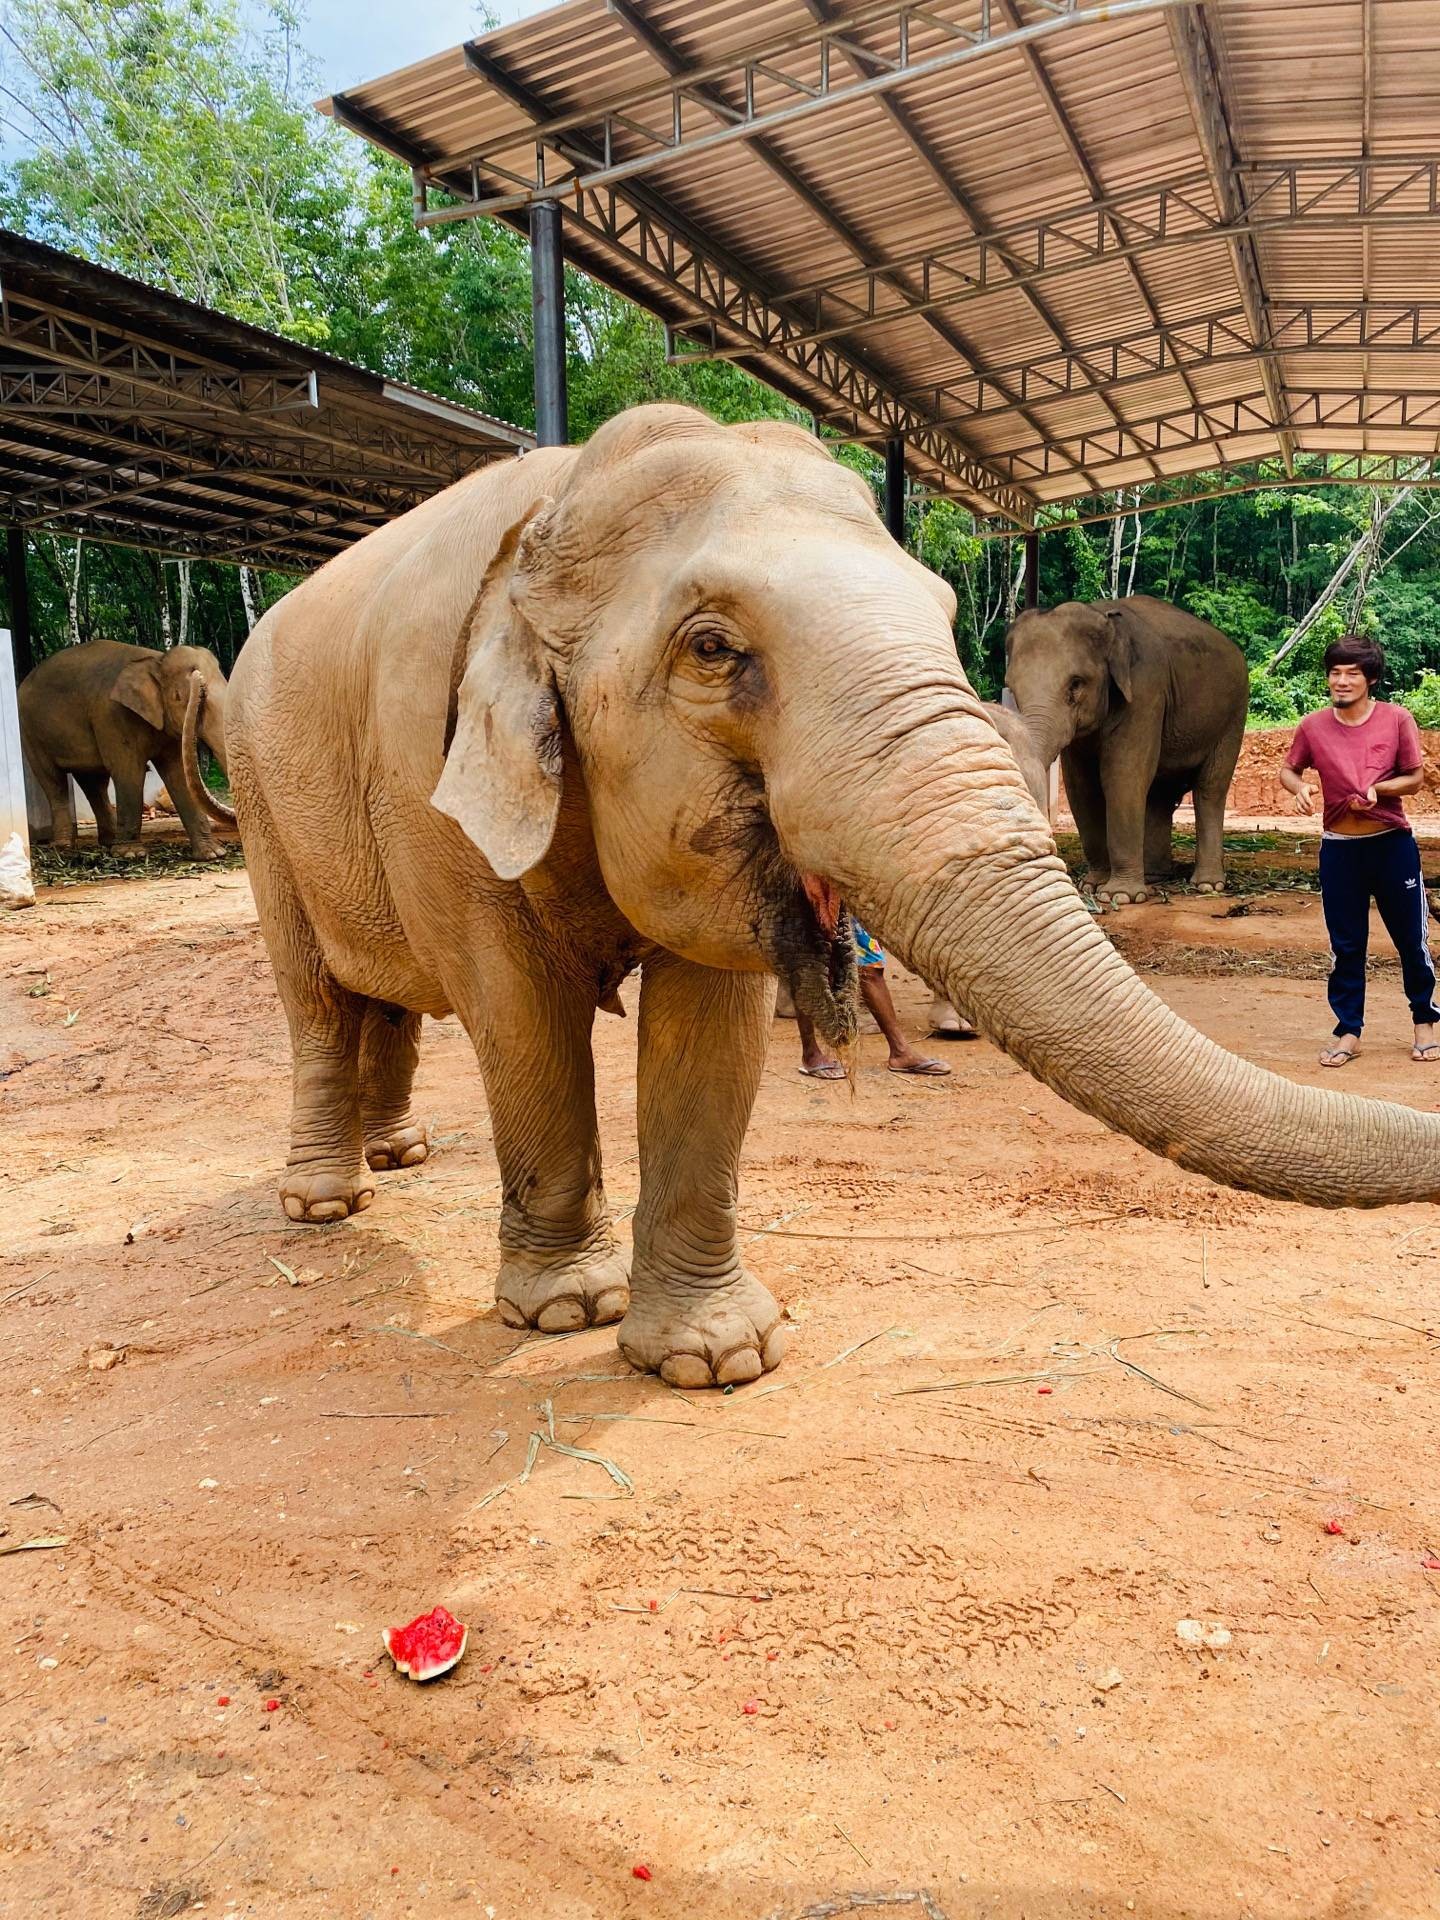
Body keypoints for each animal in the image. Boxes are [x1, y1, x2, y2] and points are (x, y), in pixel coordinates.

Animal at [20, 639, 231, 859]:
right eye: (178, 697)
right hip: (30, 732)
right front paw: (131, 854)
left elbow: (179, 774)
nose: (198, 678)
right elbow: (129, 772)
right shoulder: (113, 716)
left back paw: (108, 842)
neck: (157, 659)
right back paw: (64, 846)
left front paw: (213, 853)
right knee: (54, 782)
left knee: (94, 784)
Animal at [1003, 596, 1248, 906]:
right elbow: (1081, 788)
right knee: (1159, 794)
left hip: (1232, 717)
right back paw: (1154, 876)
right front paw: (1091, 886)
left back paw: (1207, 885)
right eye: (1012, 689)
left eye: (1076, 683)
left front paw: (1120, 895)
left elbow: (1122, 777)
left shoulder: (1145, 690)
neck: (1102, 615)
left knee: (1210, 789)